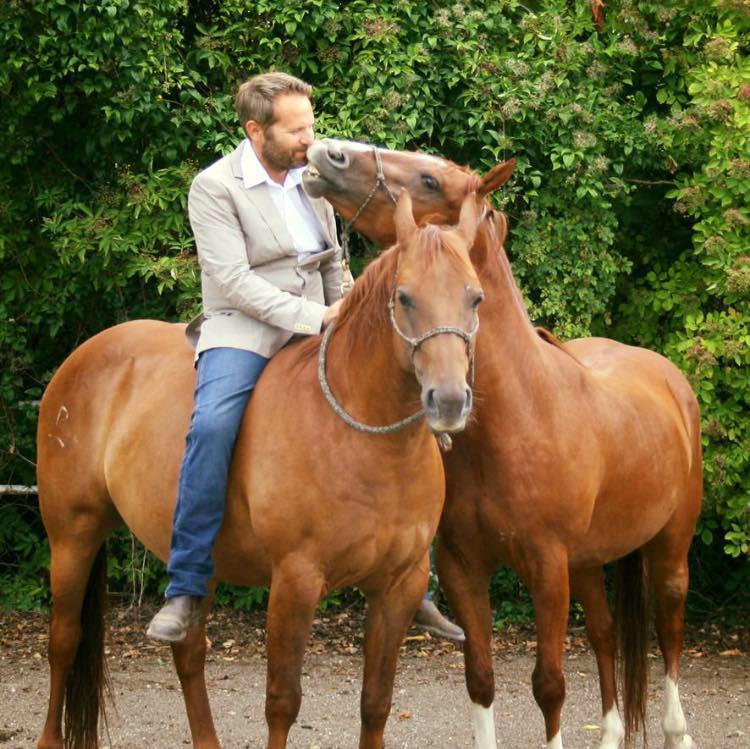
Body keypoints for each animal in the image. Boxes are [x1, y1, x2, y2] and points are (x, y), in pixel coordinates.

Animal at [35, 188, 487, 749]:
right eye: (404, 298)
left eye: (475, 298)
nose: (448, 401)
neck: (363, 440)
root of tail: (83, 357)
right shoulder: (295, 581)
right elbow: (282, 702)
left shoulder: (399, 587)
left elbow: (377, 703)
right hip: (72, 537)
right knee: (64, 641)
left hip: (194, 557)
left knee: (189, 651)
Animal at [305, 139, 702, 749]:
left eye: (429, 179)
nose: (327, 153)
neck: (517, 418)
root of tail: (668, 377)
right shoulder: (465, 566)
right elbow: (481, 677)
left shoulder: (547, 567)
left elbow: (550, 686)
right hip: (589, 564)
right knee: (606, 633)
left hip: (670, 547)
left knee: (670, 629)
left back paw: (677, 730)